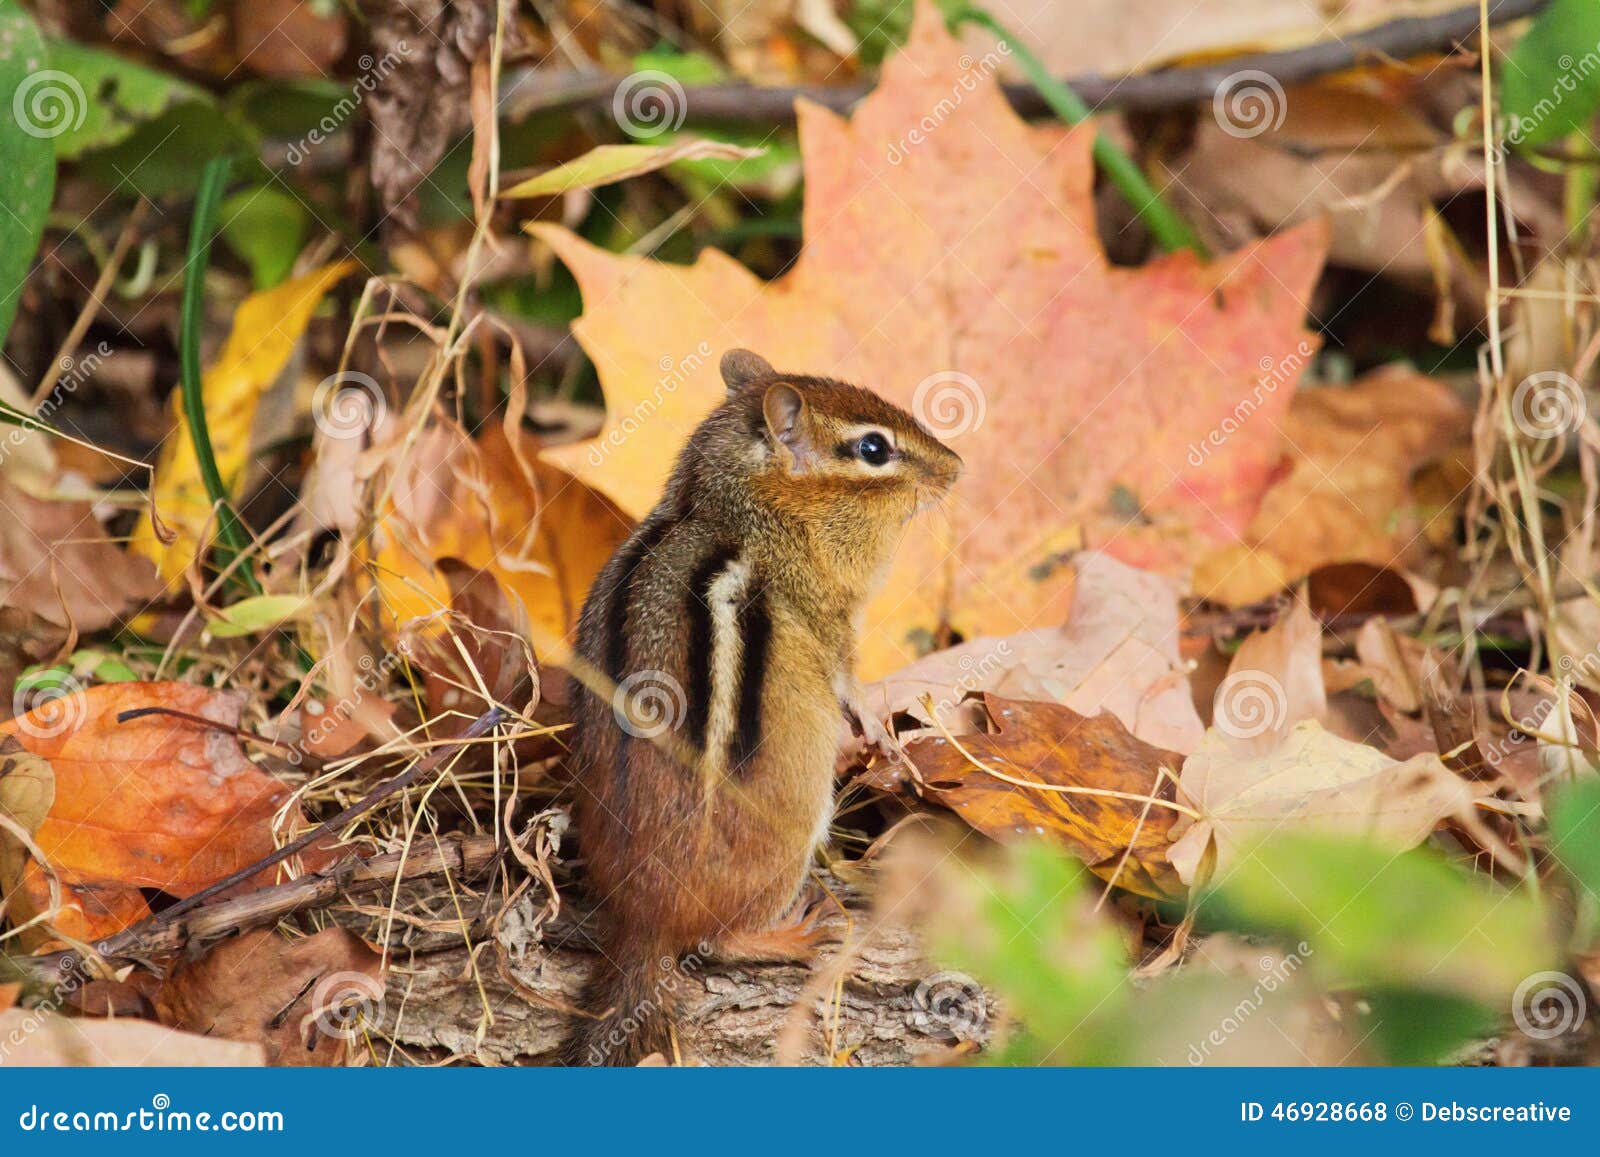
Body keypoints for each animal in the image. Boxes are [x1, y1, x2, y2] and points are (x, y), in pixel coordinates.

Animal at [562, 349, 962, 1065]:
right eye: (873, 449)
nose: (957, 466)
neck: (738, 505)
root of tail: (643, 921)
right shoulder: (831, 621)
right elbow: (850, 688)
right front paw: (883, 739)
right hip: (795, 829)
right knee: (715, 942)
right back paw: (794, 935)